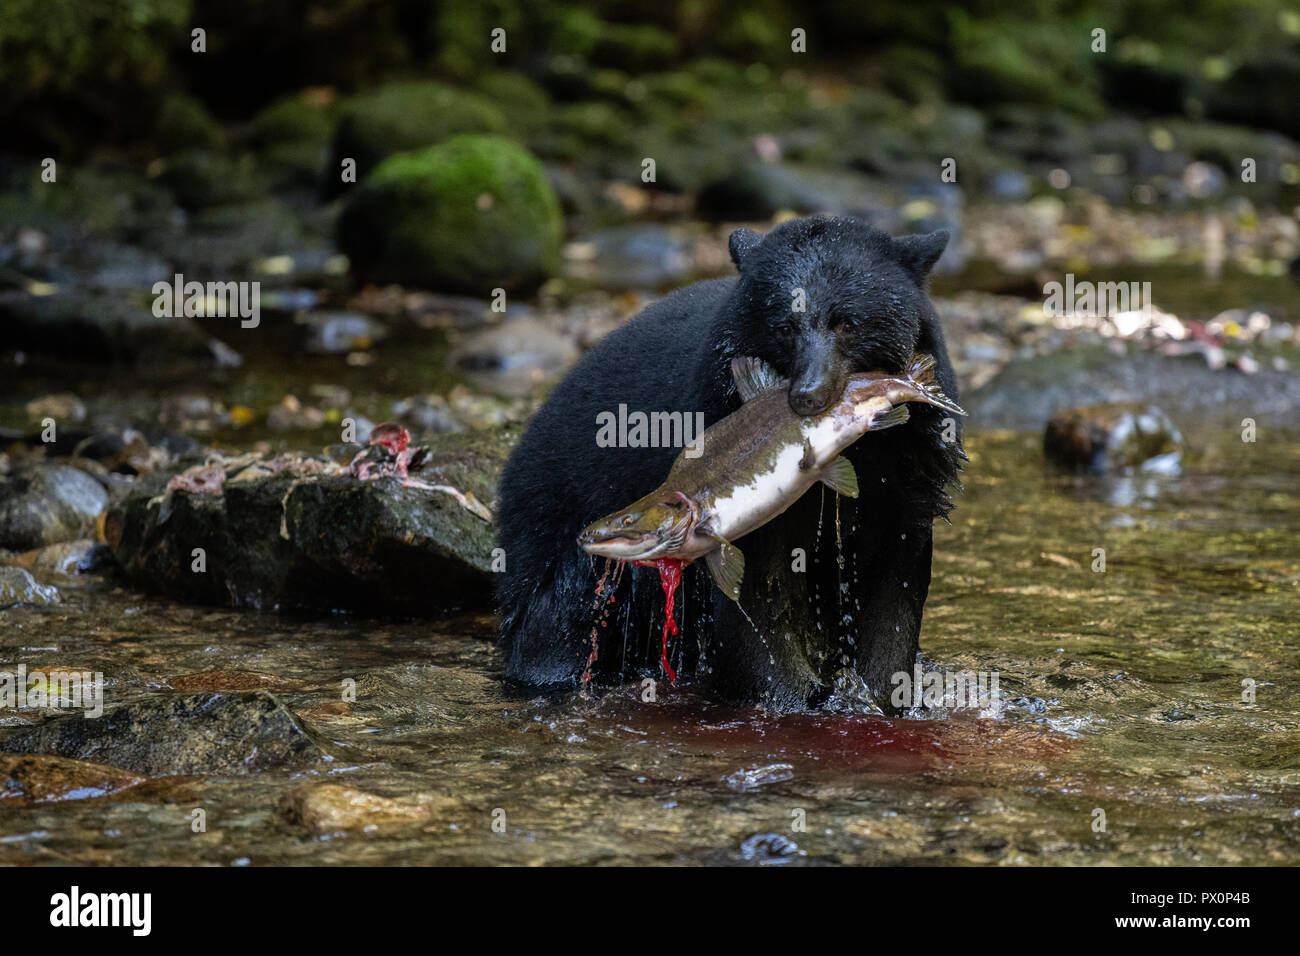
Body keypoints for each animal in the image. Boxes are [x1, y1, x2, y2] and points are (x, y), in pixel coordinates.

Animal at [496, 217, 967, 712]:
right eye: (783, 327)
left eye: (847, 323)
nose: (808, 396)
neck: (862, 449)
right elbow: (755, 601)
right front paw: (782, 700)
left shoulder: (912, 467)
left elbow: (894, 587)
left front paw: (881, 699)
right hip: (557, 531)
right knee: (555, 627)